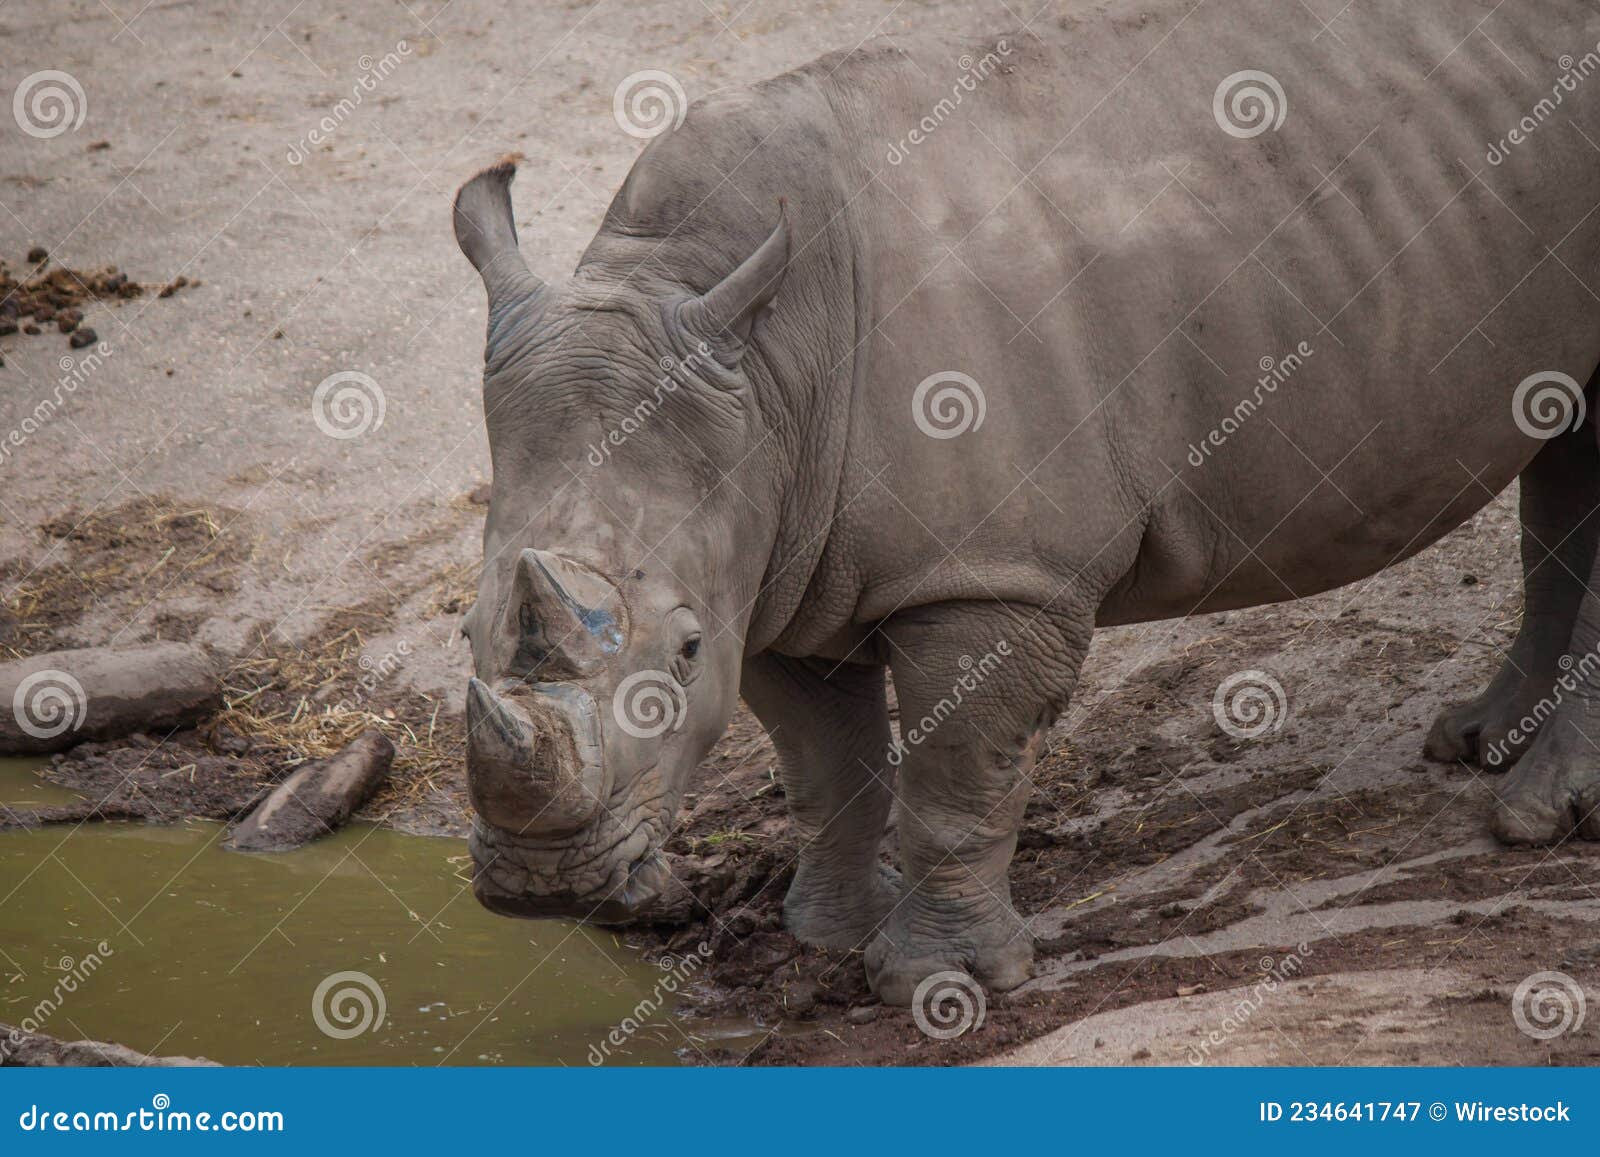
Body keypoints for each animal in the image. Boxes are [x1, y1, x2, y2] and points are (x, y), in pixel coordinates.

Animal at [454, 0, 1600, 1004]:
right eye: (466, 632)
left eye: (683, 652)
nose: (542, 882)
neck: (769, 369)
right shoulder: (771, 561)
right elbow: (826, 767)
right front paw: (827, 936)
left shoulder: (991, 574)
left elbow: (959, 781)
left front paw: (941, 981)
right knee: (1563, 433)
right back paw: (1480, 742)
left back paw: (1533, 816)